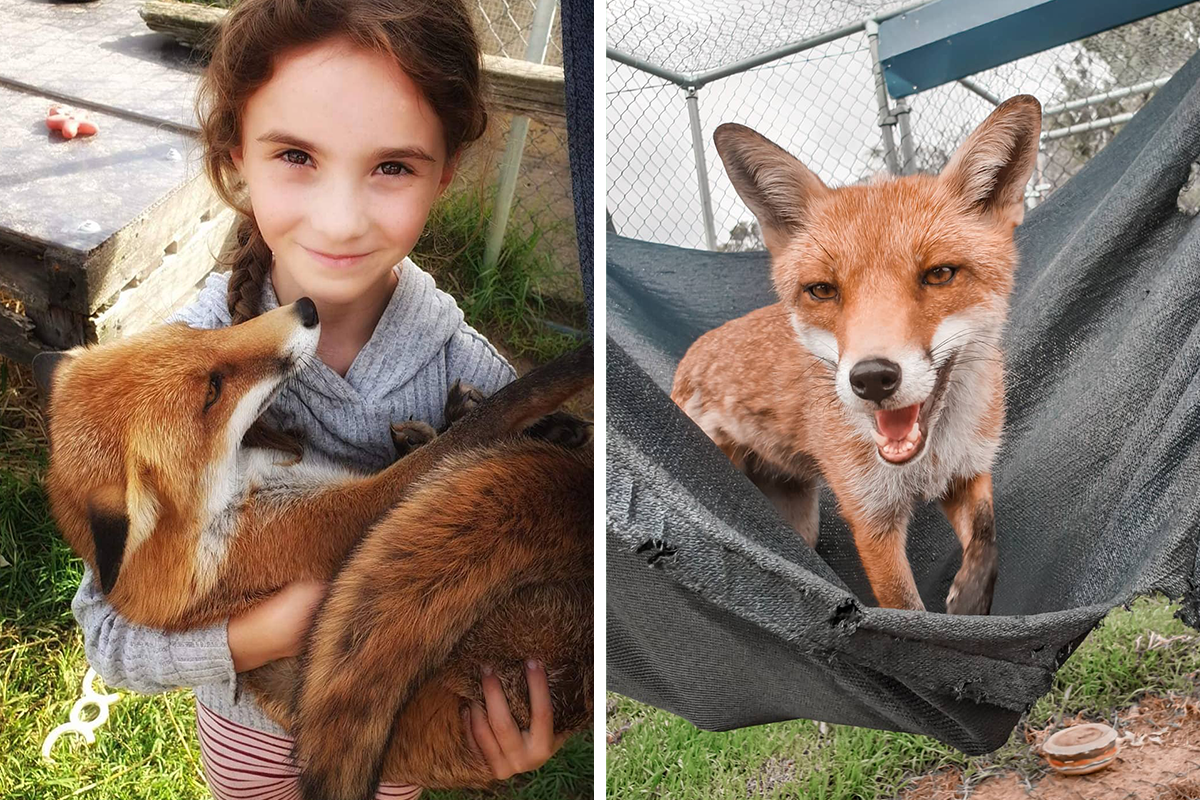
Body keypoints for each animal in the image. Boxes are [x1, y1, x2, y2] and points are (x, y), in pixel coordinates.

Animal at [33, 298, 592, 800]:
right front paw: (574, 365)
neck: (225, 511)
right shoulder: (354, 511)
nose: (305, 307)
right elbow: (502, 409)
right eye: (213, 390)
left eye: (194, 334)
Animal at [671, 95, 1042, 614]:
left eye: (940, 274)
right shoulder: (871, 518)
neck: (928, 455)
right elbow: (906, 611)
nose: (871, 379)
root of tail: (691, 355)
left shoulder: (967, 472)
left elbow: (989, 536)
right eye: (823, 290)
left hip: (799, 515)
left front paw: (971, 600)